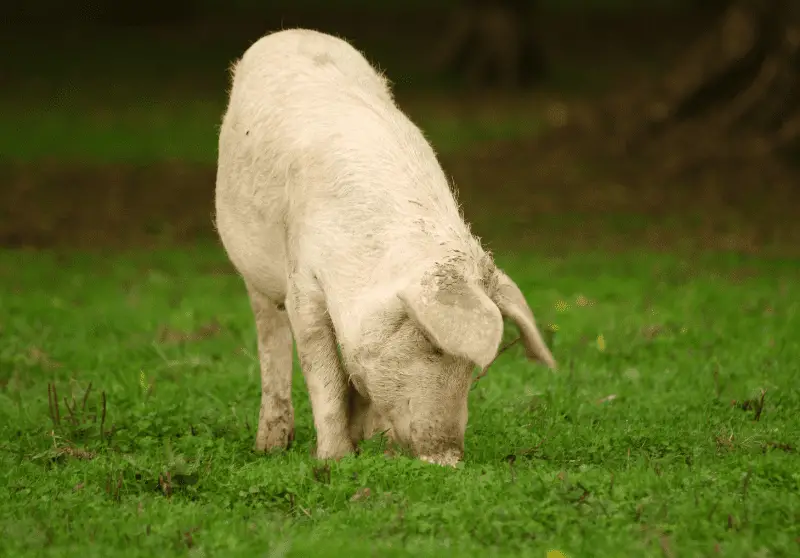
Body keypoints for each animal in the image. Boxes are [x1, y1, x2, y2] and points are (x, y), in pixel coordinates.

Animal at [214, 28, 556, 467]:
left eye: (475, 370)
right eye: (431, 344)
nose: (448, 458)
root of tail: (292, 33)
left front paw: (378, 449)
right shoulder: (303, 282)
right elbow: (323, 371)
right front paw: (335, 460)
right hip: (253, 271)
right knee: (271, 338)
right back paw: (270, 446)